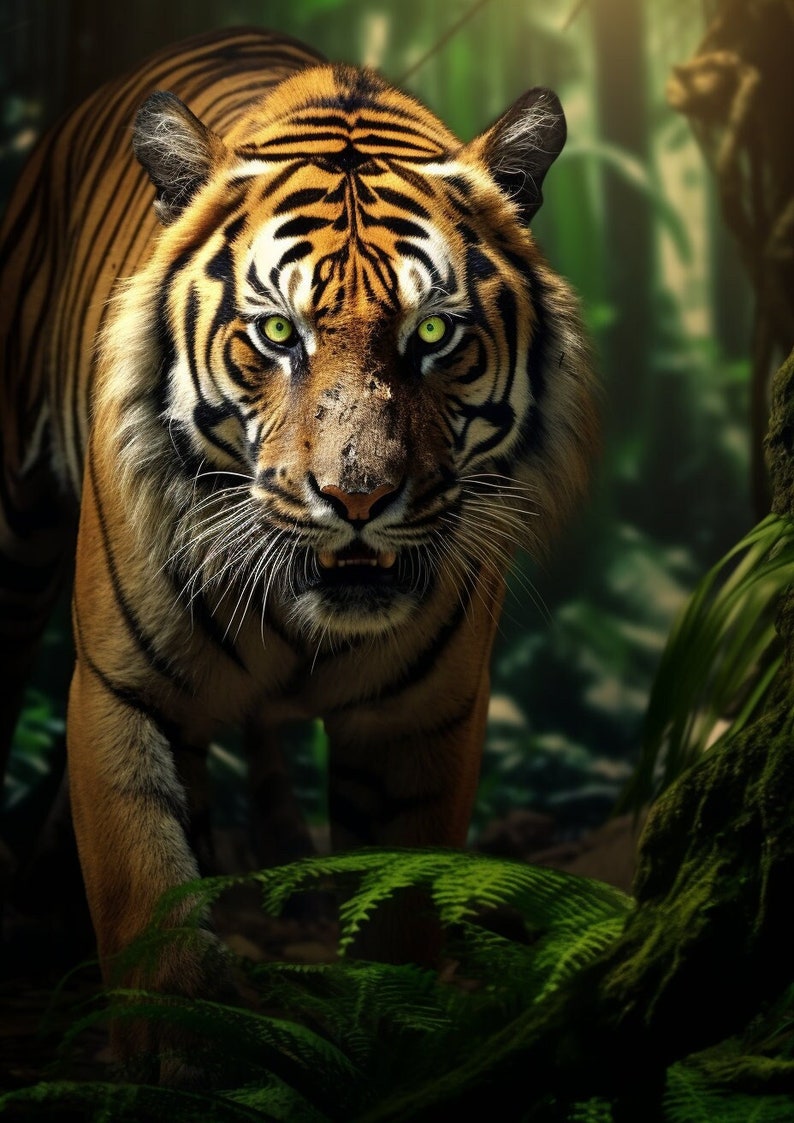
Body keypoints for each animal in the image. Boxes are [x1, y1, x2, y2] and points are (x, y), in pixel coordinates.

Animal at [0, 25, 597, 1064]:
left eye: (434, 332)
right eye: (278, 331)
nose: (357, 496)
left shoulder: (423, 720)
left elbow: (402, 910)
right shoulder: (119, 688)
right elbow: (146, 902)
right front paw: (175, 1053)